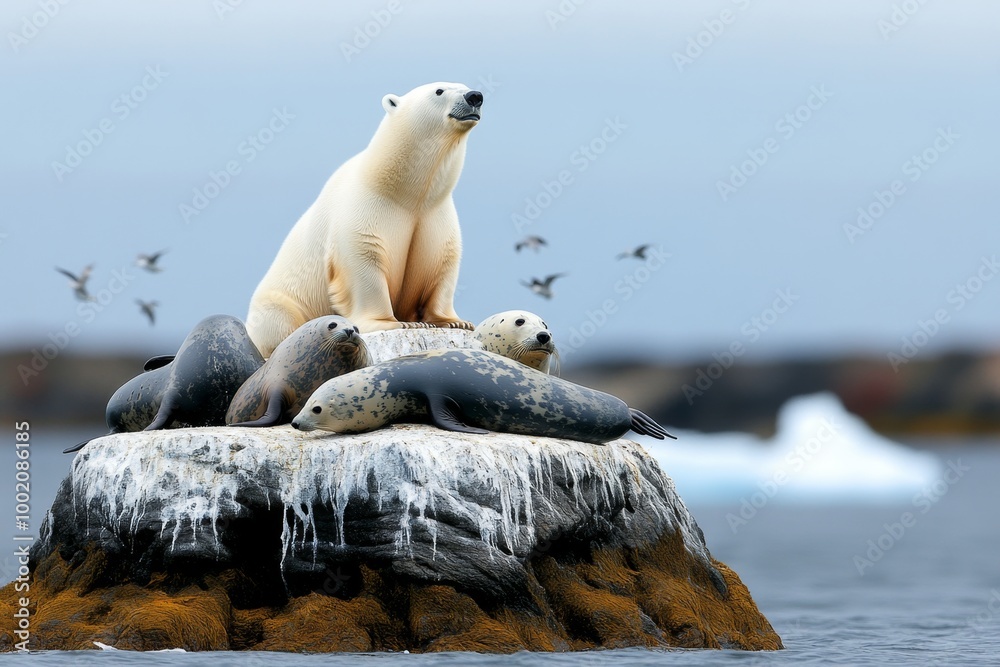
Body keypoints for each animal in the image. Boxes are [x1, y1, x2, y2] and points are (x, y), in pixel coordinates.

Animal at [246, 81, 483, 357]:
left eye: (465, 86)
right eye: (439, 90)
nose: (475, 96)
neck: (403, 193)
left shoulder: (434, 216)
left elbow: (442, 262)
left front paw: (455, 321)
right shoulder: (365, 211)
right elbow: (365, 263)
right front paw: (396, 323)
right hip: (279, 304)